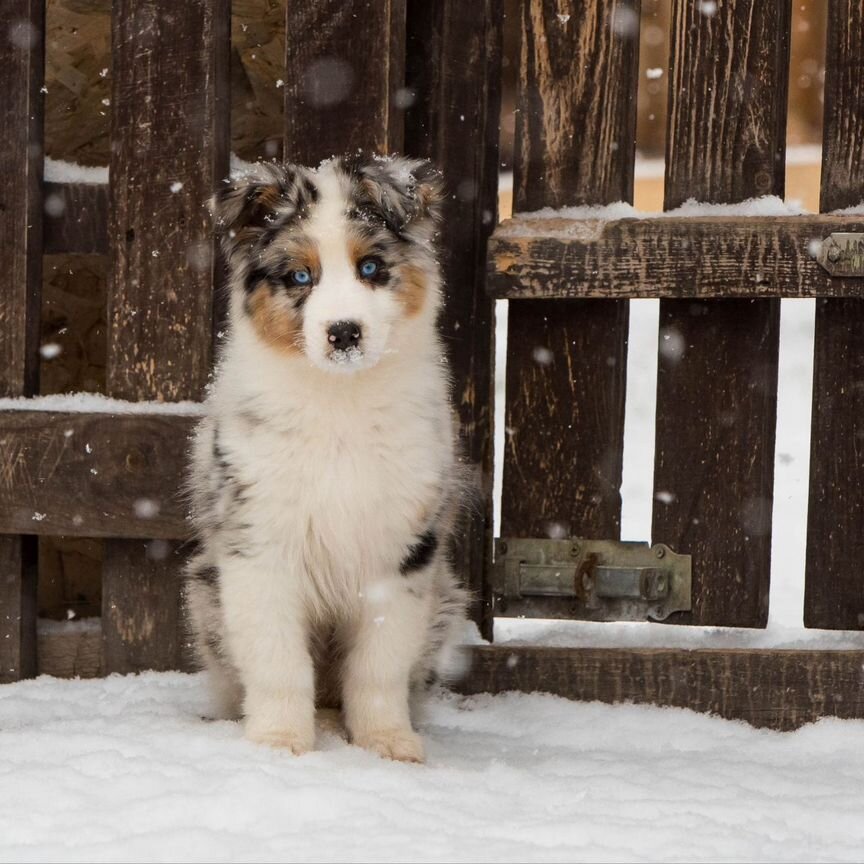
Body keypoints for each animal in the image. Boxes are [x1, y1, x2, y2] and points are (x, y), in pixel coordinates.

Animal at [185, 155, 470, 764]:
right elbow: (279, 661)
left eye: (371, 267)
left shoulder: (402, 551)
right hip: (205, 591)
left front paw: (388, 744)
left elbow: (379, 665)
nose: (344, 332)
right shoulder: (259, 543)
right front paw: (279, 743)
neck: (340, 402)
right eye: (300, 277)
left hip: (446, 599)